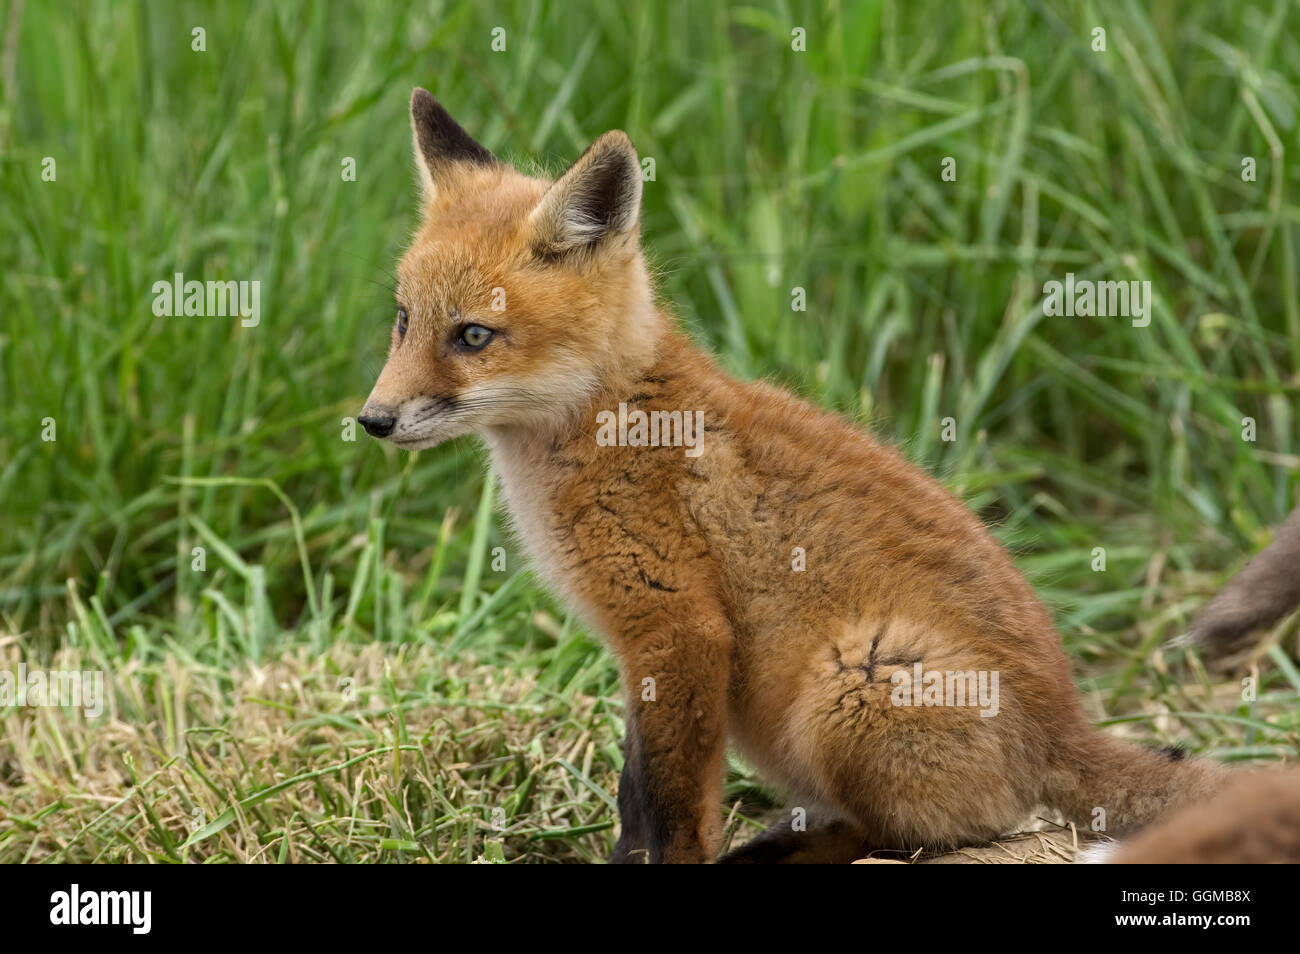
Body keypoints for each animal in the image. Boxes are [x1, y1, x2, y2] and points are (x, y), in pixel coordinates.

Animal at [358, 87, 1232, 863]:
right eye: (402, 320)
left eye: (473, 335)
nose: (373, 421)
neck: (607, 422)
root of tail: (1066, 725)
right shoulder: (647, 649)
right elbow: (637, 795)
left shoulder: (678, 627)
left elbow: (669, 806)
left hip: (850, 687)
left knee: (924, 834)